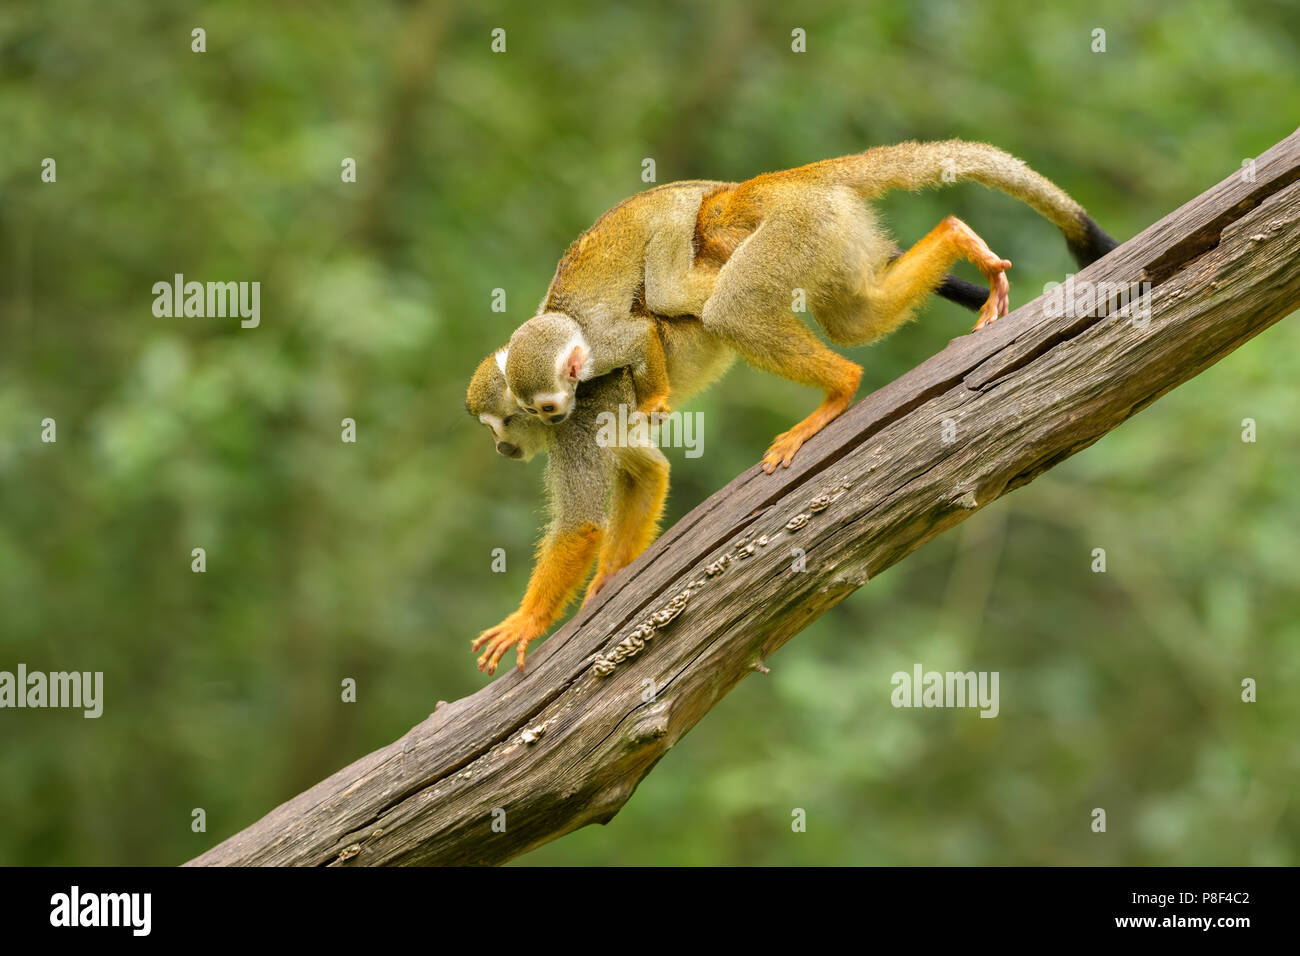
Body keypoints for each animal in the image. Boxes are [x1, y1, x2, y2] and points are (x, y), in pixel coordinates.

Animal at [505, 140, 1118, 472]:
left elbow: (645, 330)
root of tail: (773, 184)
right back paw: (954, 234)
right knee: (851, 320)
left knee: (722, 305)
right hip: (831, 230)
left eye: (537, 412)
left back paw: (839, 387)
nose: (511, 446)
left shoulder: (603, 343)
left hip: (796, 226)